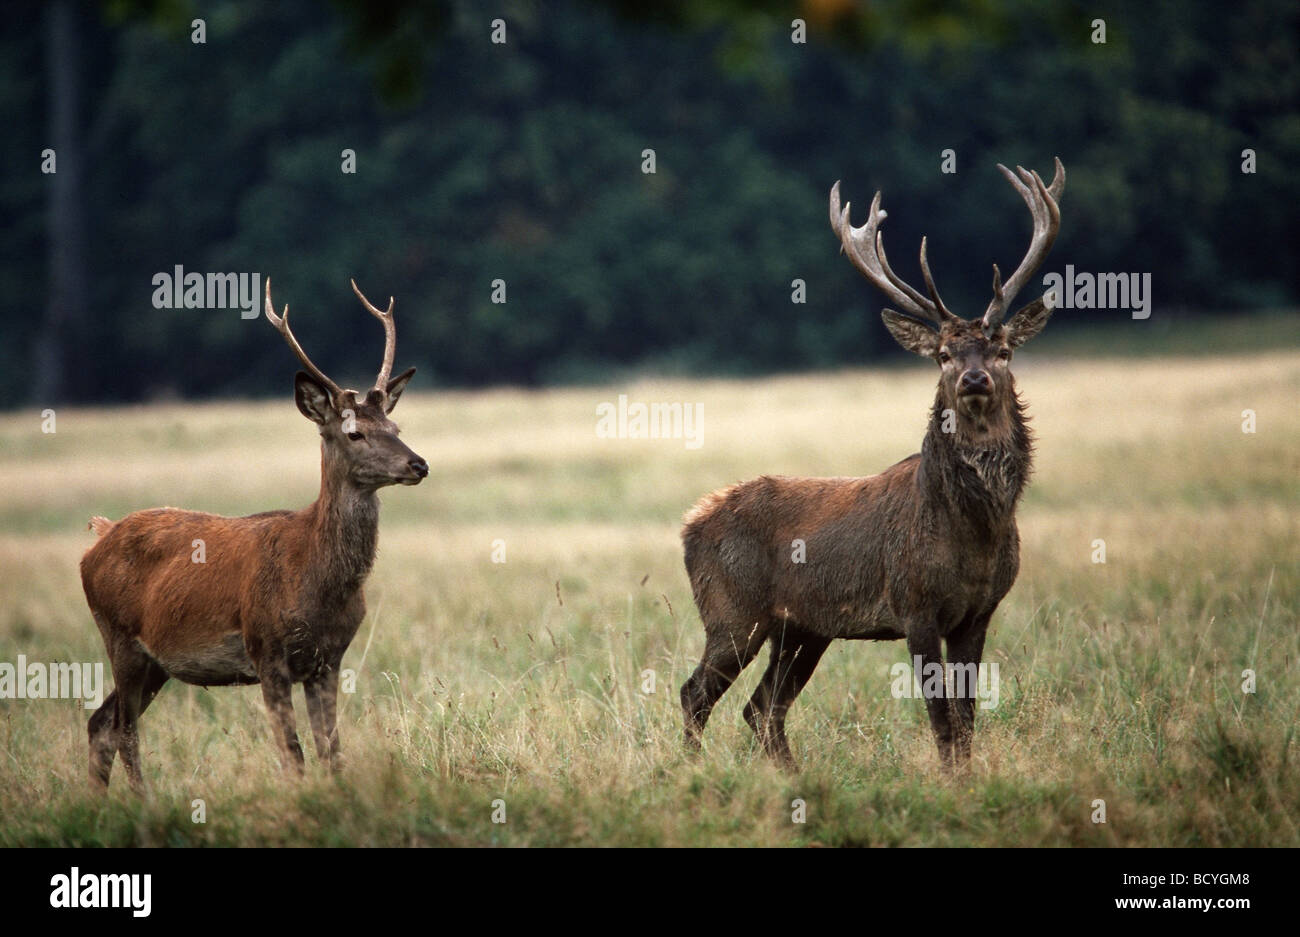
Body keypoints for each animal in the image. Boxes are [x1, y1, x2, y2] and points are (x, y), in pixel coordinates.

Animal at [81, 278, 428, 793]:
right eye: (353, 433)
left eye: (395, 425)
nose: (418, 463)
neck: (315, 579)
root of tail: (97, 540)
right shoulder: (267, 651)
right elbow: (294, 756)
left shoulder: (329, 660)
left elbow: (332, 753)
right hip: (119, 636)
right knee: (123, 729)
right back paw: (141, 802)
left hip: (156, 663)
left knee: (100, 723)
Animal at [680, 159, 1064, 770]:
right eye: (942, 354)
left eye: (1003, 350)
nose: (973, 378)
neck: (973, 532)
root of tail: (689, 523)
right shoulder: (915, 605)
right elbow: (942, 719)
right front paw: (951, 781)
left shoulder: (979, 612)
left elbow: (968, 717)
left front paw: (968, 778)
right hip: (732, 611)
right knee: (696, 694)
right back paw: (689, 771)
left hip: (801, 629)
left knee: (761, 707)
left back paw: (791, 778)